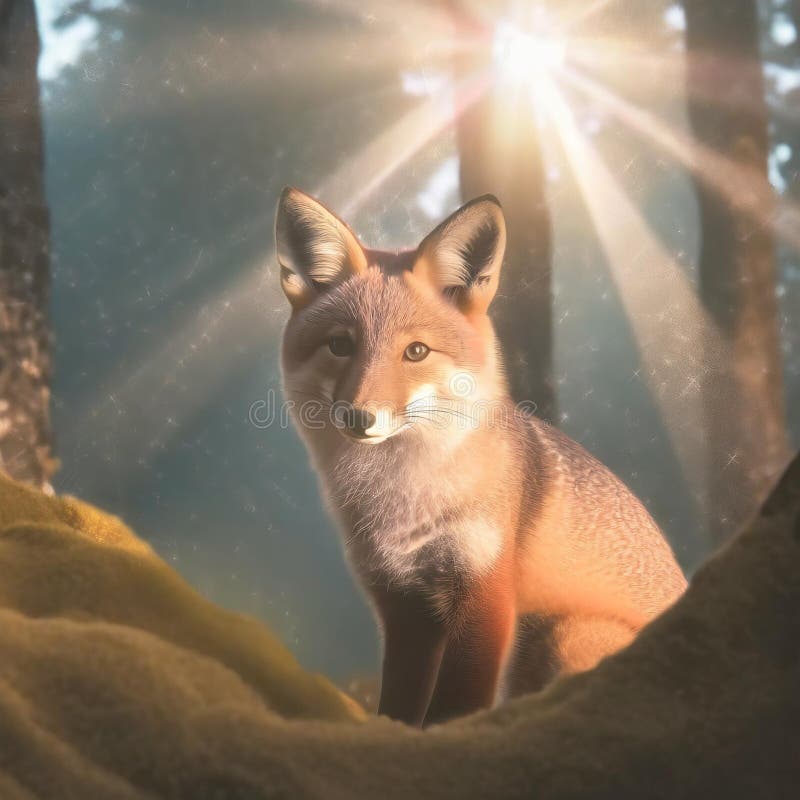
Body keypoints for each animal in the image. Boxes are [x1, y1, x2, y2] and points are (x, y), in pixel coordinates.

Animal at [275, 187, 687, 727]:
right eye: (340, 345)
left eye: (416, 352)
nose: (359, 417)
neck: (403, 504)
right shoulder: (403, 609)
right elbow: (399, 709)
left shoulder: (486, 599)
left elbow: (454, 707)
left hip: (564, 633)